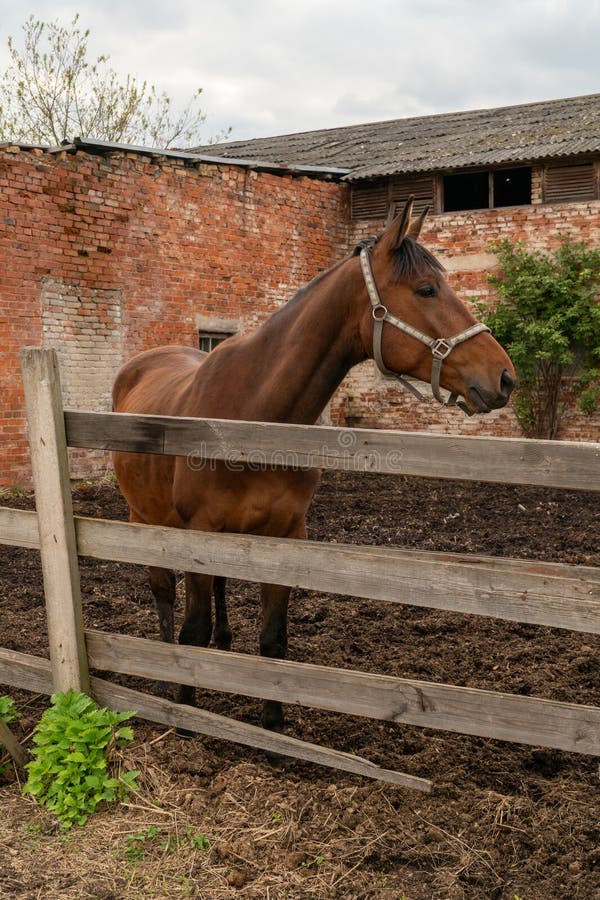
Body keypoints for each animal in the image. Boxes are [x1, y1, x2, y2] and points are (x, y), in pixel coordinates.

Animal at [112, 199, 515, 735]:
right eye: (426, 289)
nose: (504, 376)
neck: (253, 416)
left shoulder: (286, 535)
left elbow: (273, 641)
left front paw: (273, 724)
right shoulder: (197, 531)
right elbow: (191, 632)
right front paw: (186, 711)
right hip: (146, 519)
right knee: (163, 597)